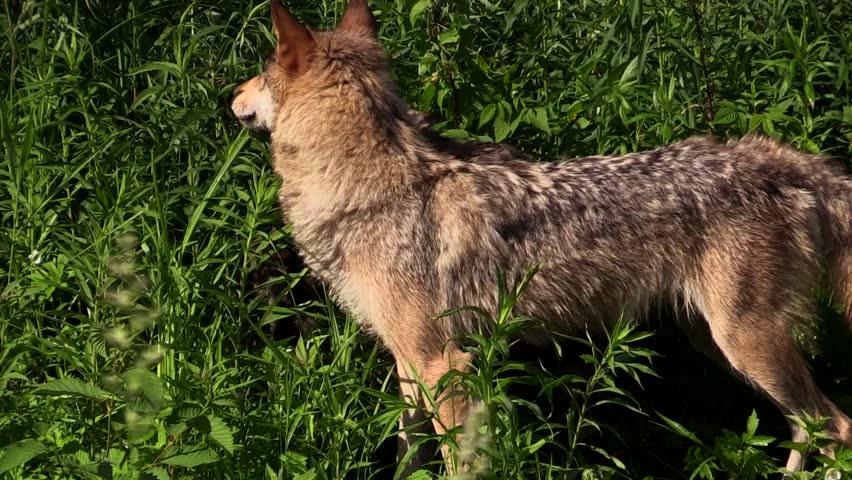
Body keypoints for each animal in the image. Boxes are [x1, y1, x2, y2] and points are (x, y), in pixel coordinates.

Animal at [230, 0, 852, 475]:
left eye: (261, 70)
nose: (229, 94)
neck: (370, 182)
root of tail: (785, 160)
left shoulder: (444, 364)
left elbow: (456, 462)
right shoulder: (410, 363)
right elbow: (410, 452)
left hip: (746, 344)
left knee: (837, 425)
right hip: (721, 344)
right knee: (808, 426)